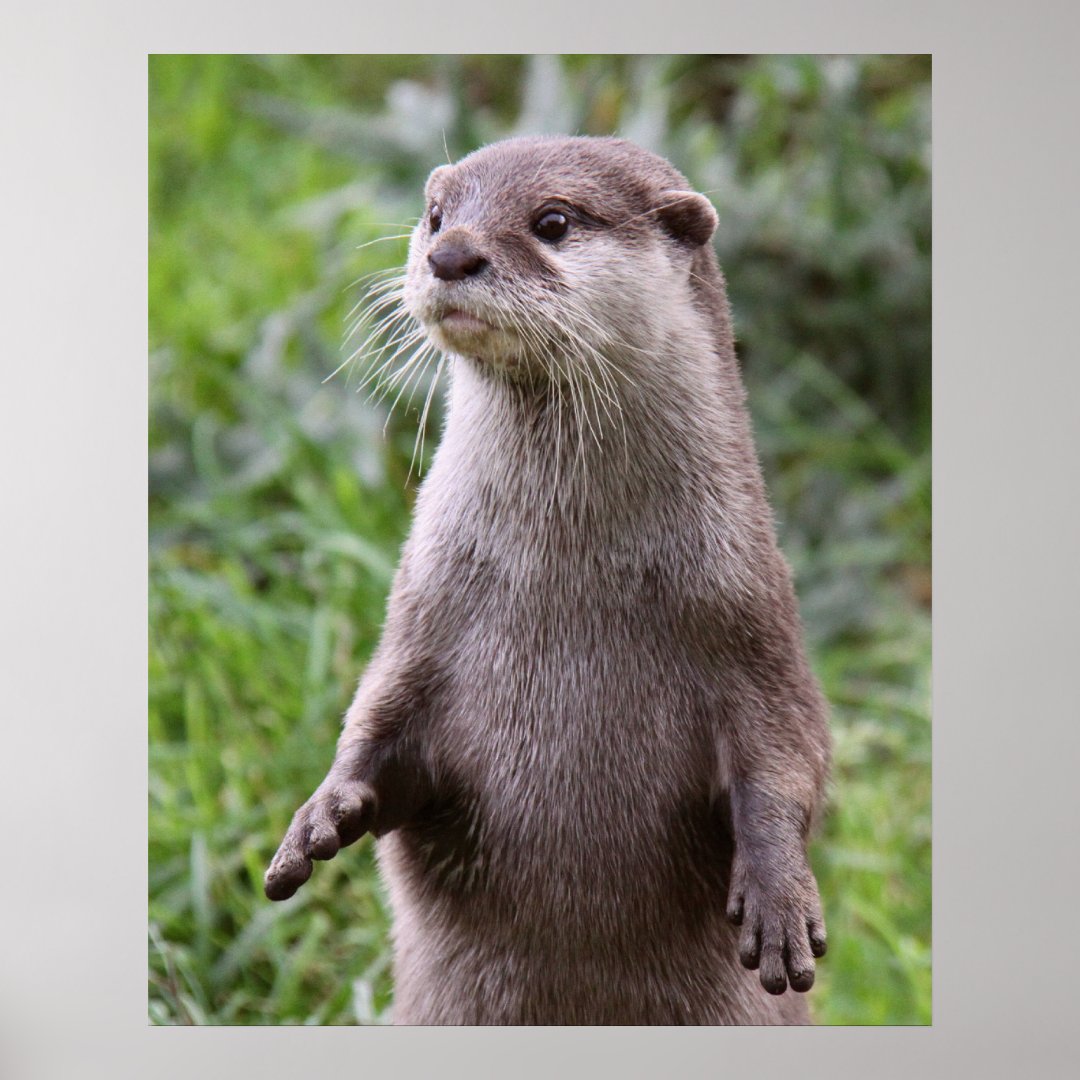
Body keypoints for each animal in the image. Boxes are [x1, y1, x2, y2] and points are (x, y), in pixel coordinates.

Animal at [265, 136, 831, 1025]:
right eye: (436, 215)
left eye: (554, 221)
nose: (451, 253)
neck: (570, 584)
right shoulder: (420, 615)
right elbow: (376, 721)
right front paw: (322, 812)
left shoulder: (753, 619)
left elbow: (791, 756)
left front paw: (779, 901)